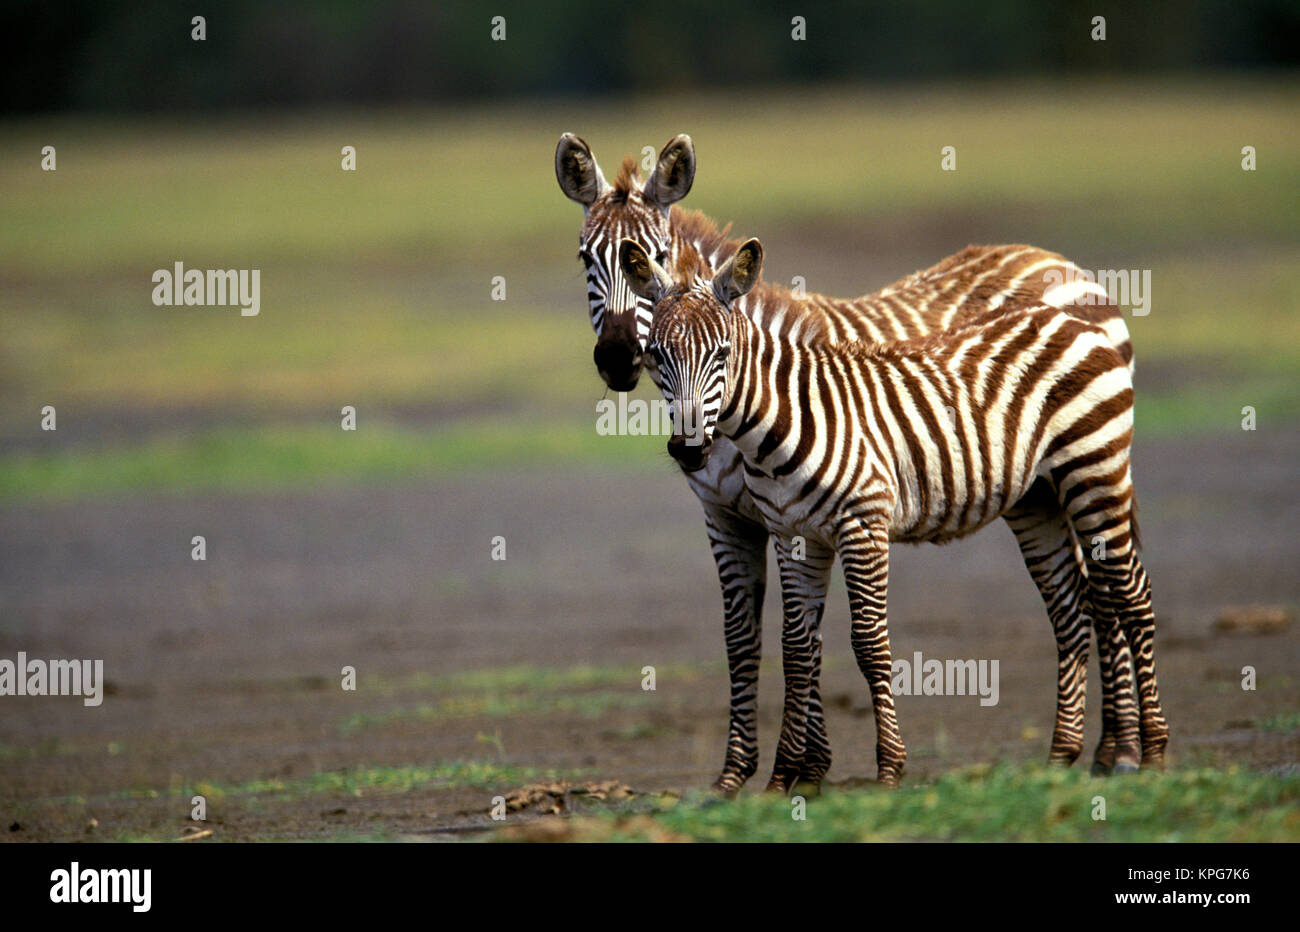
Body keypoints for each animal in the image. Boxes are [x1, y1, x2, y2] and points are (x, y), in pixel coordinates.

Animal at [556, 132, 1145, 791]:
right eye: (585, 258)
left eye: (655, 253)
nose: (617, 358)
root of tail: (1053, 258)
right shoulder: (729, 517)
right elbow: (751, 639)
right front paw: (751, 773)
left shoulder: (809, 516)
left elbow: (813, 640)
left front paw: (810, 768)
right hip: (1035, 490)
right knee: (1081, 595)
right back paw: (1096, 750)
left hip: (1090, 468)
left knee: (1112, 591)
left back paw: (1123, 750)